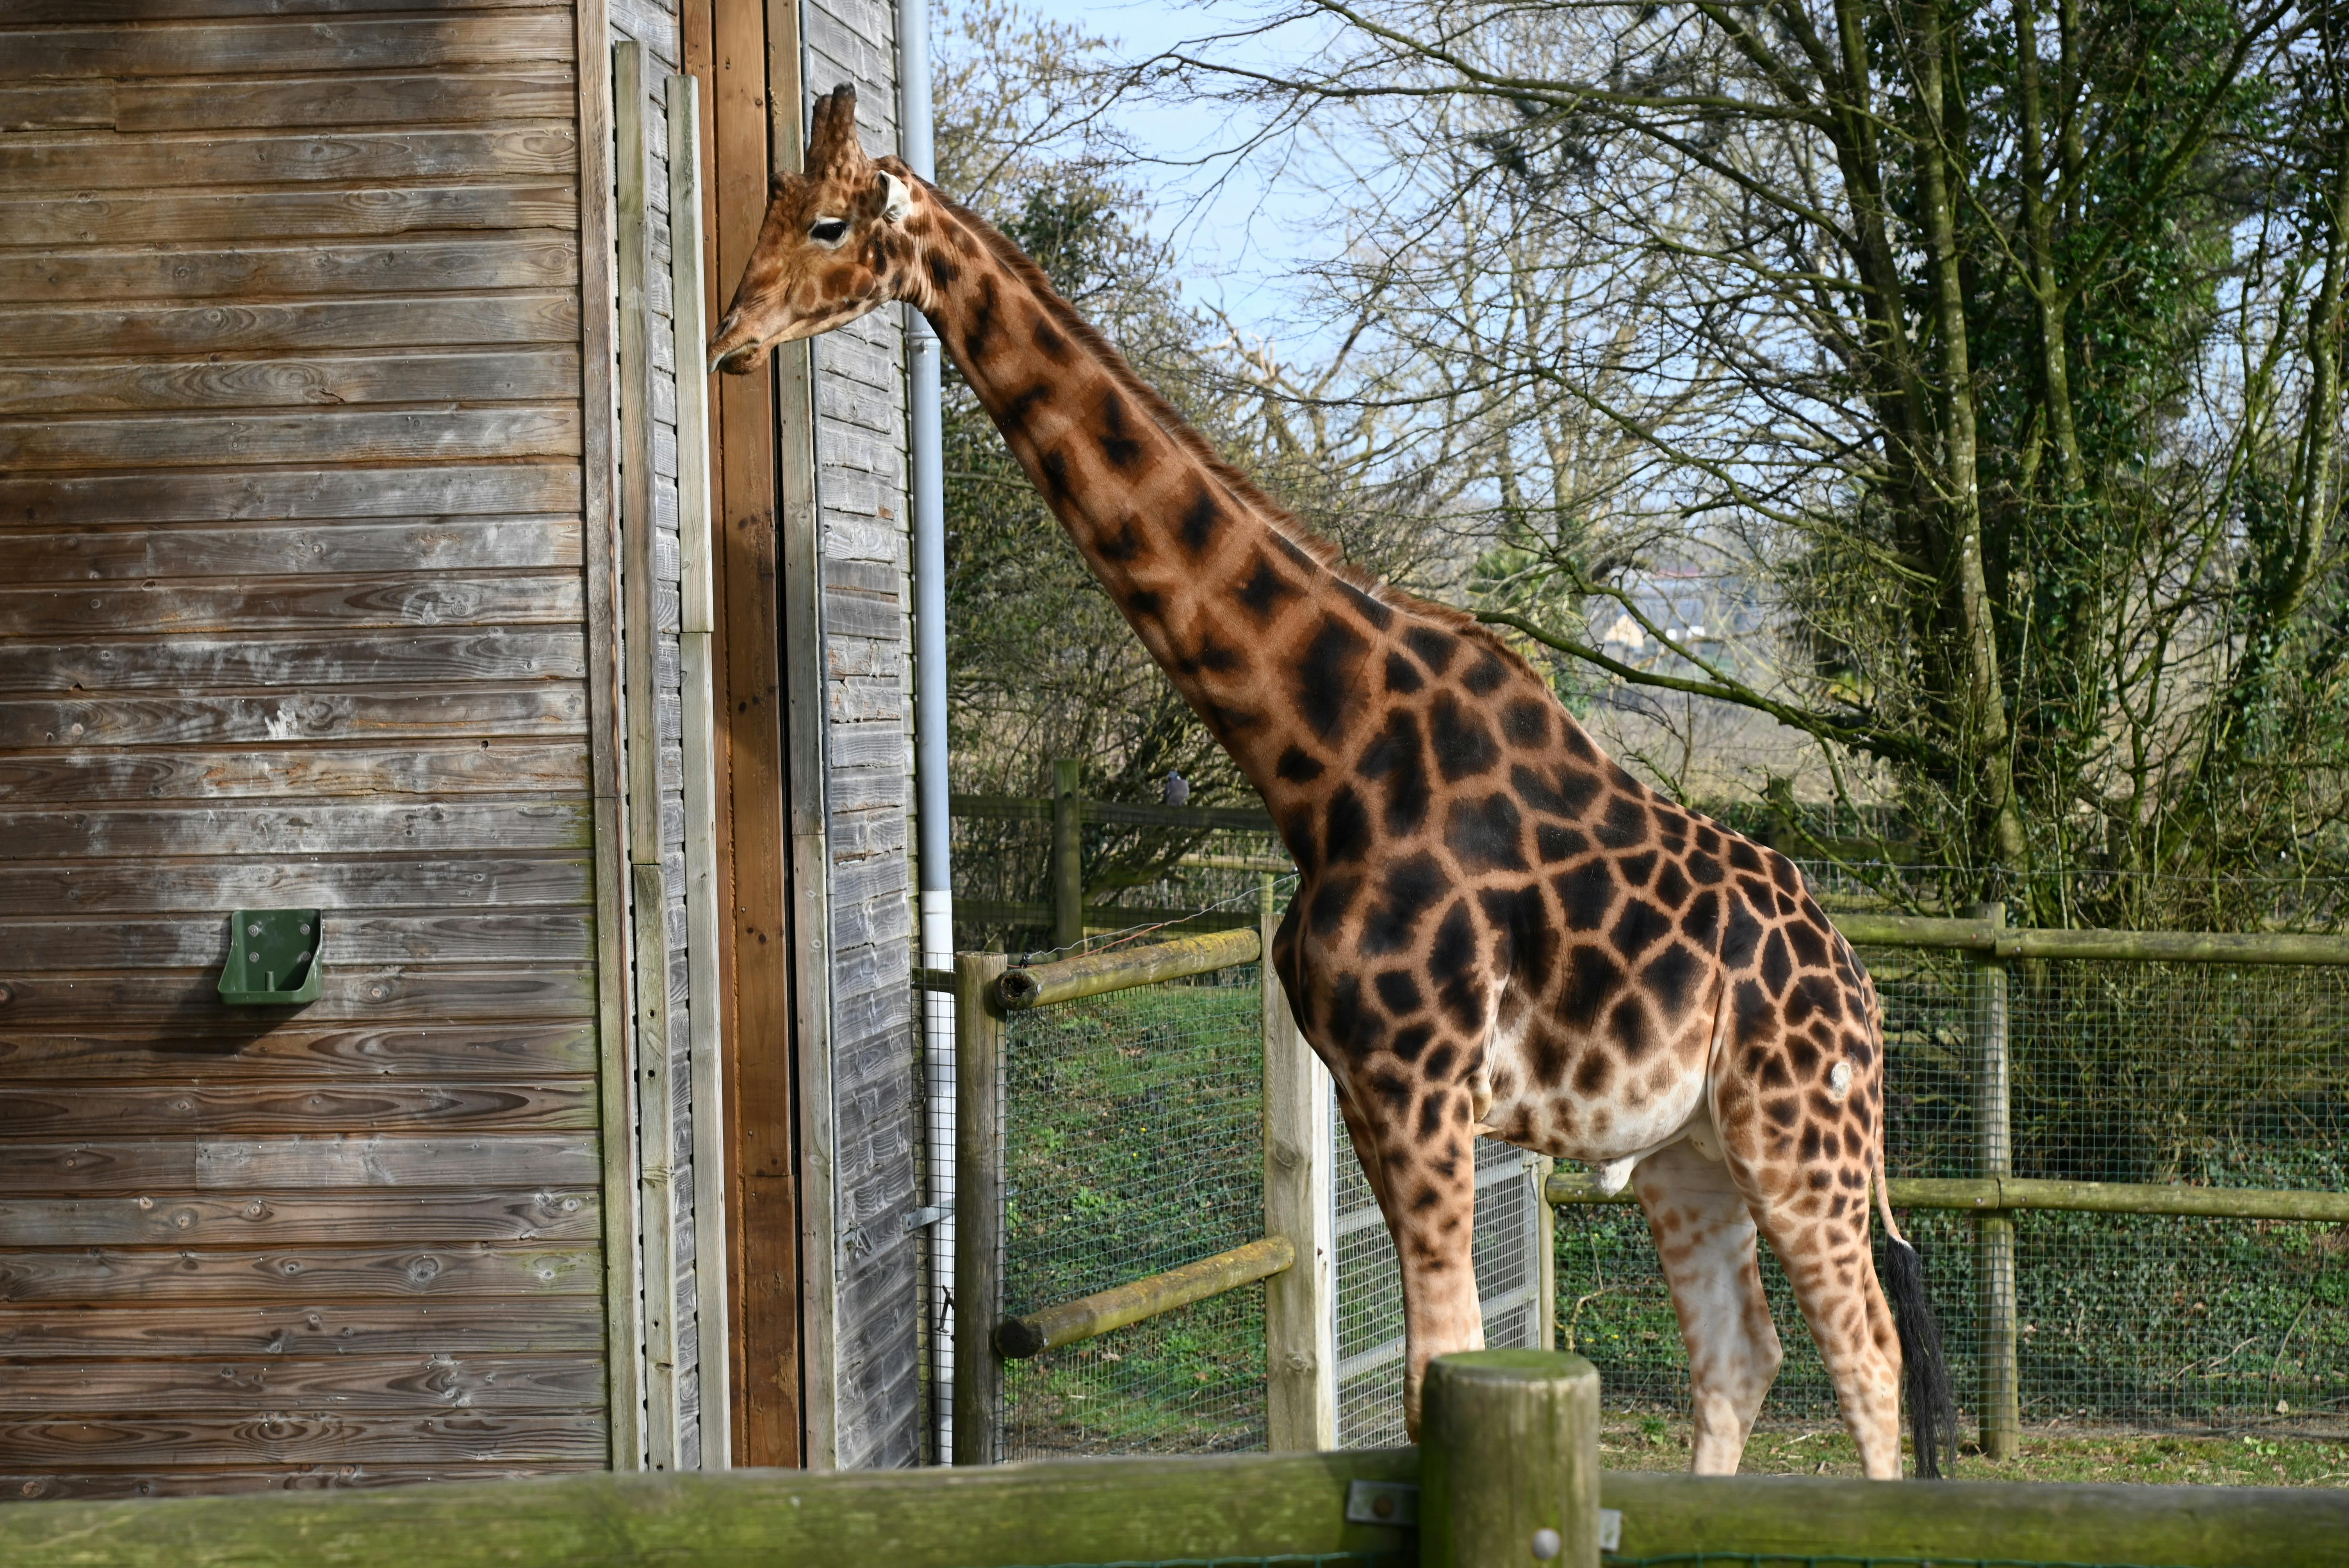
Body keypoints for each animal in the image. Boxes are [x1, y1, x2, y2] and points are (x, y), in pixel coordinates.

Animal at [710, 86, 1957, 1479]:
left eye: (827, 223)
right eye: (766, 209)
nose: (730, 338)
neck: (1325, 757)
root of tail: (1860, 988)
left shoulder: (1420, 1083)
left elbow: (1434, 1378)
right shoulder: (1368, 1086)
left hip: (1800, 1132)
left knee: (1870, 1361)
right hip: (1688, 1147)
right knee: (1743, 1357)